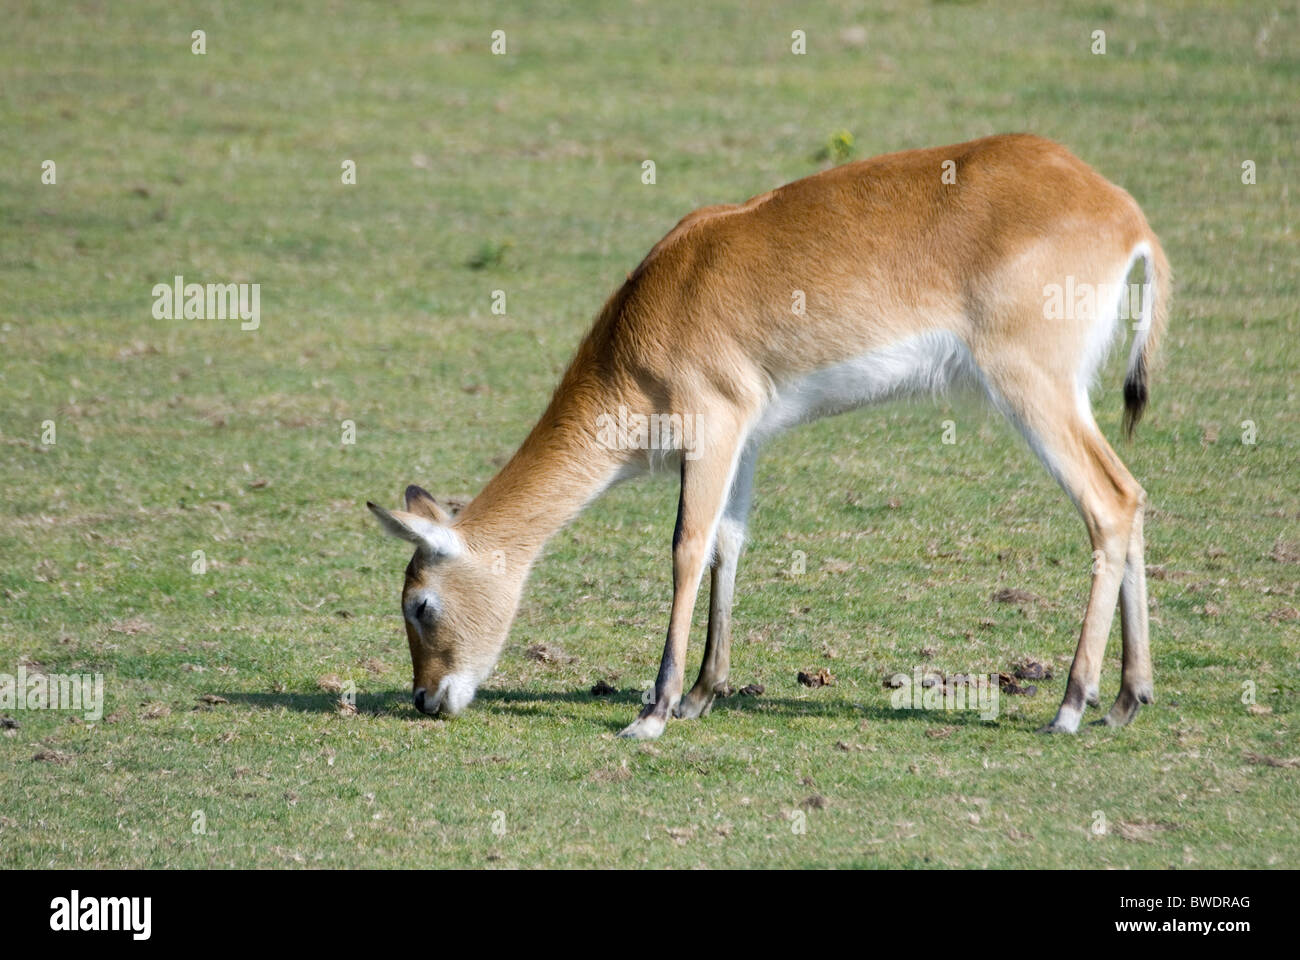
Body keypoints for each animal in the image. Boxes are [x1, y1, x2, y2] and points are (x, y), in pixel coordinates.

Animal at [368, 133, 1170, 740]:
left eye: (420, 603)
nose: (426, 699)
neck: (646, 321)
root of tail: (1124, 213)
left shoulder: (712, 428)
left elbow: (686, 548)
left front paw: (652, 714)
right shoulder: (745, 439)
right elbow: (730, 544)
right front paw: (700, 696)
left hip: (1032, 388)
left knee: (1107, 504)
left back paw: (1071, 706)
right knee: (1132, 494)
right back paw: (1127, 700)